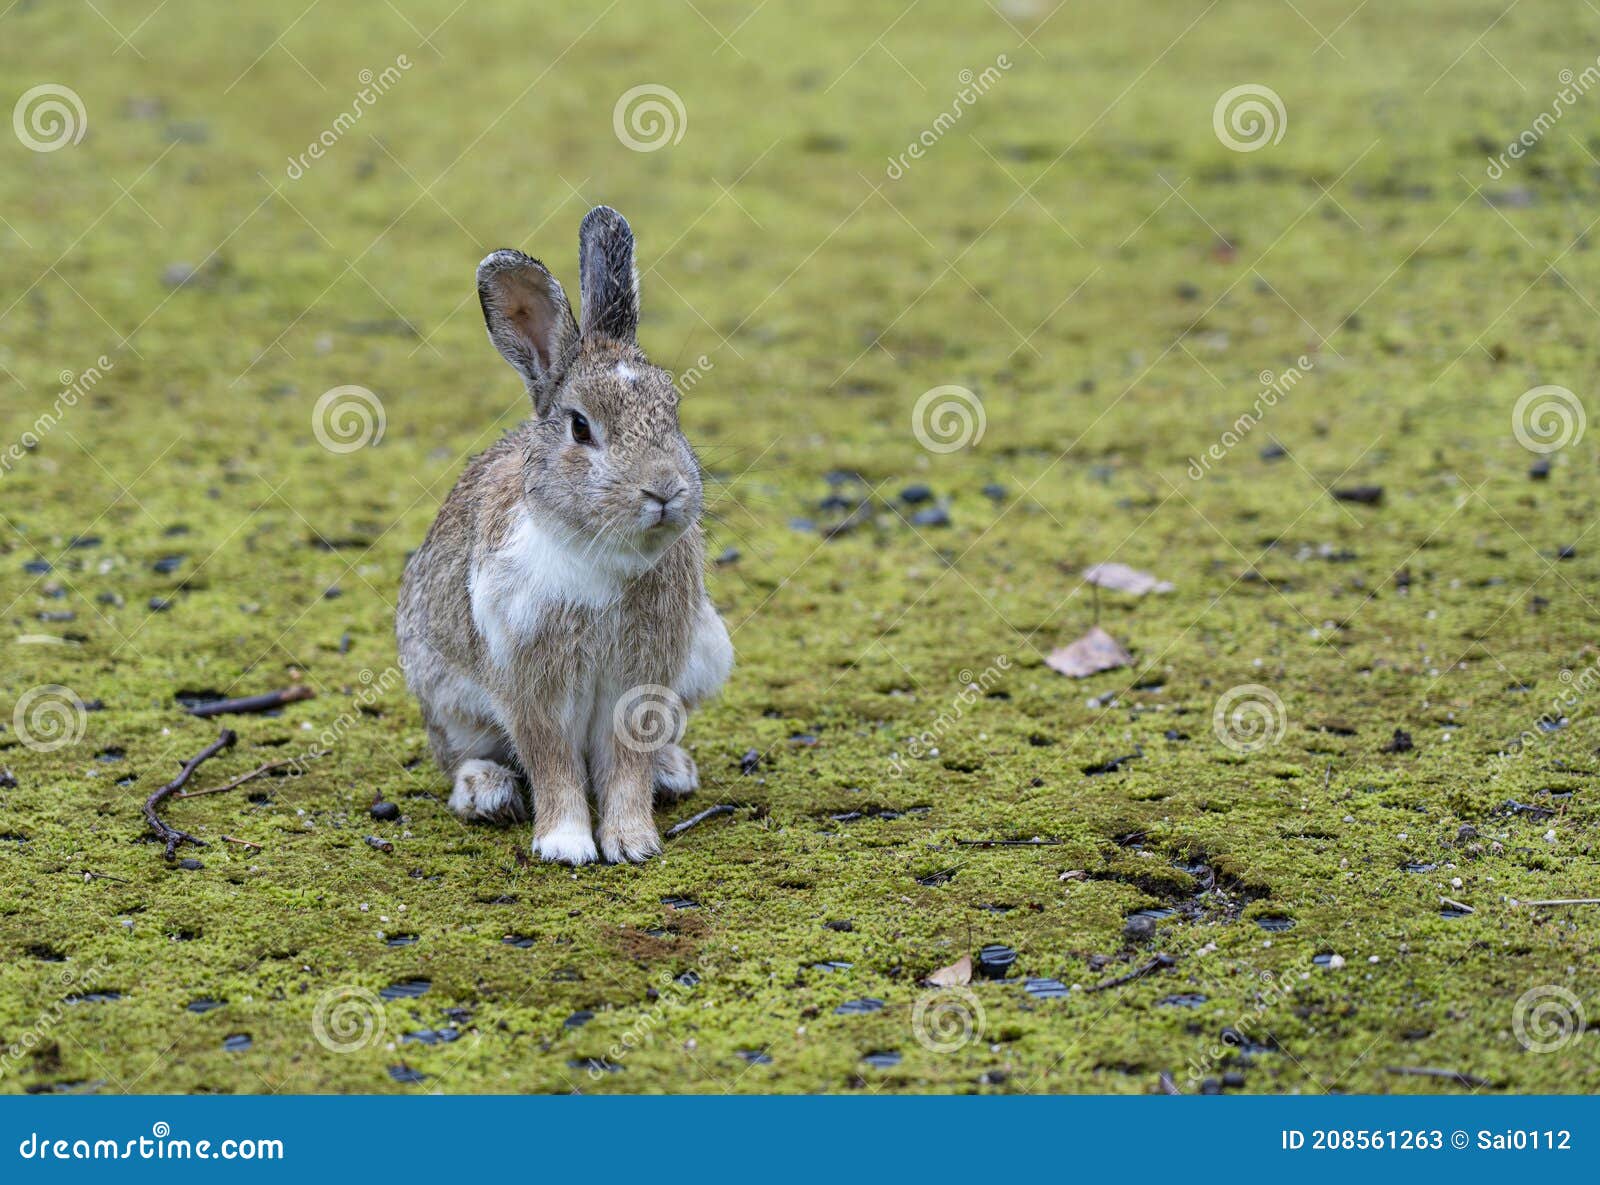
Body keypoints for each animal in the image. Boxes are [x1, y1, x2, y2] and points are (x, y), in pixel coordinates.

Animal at [396, 206, 732, 865]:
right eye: (580, 427)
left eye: (673, 412)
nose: (664, 490)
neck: (602, 553)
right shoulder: (529, 677)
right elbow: (550, 760)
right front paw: (567, 844)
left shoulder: (642, 682)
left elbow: (626, 764)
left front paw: (632, 842)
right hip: (445, 694)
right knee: (461, 754)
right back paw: (485, 791)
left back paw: (672, 773)